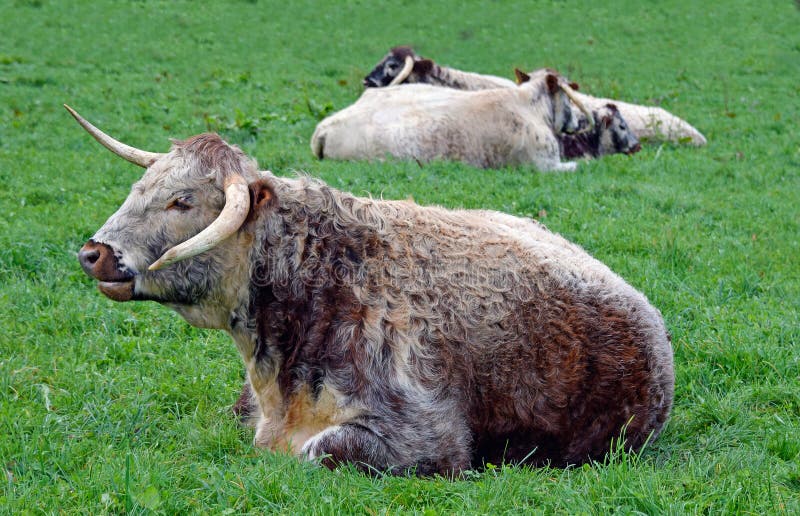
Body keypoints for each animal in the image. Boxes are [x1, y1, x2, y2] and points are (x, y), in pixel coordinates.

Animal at [312, 69, 590, 172]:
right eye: (567, 95)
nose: (578, 122)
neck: (529, 105)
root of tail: (324, 128)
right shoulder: (545, 164)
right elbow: (577, 166)